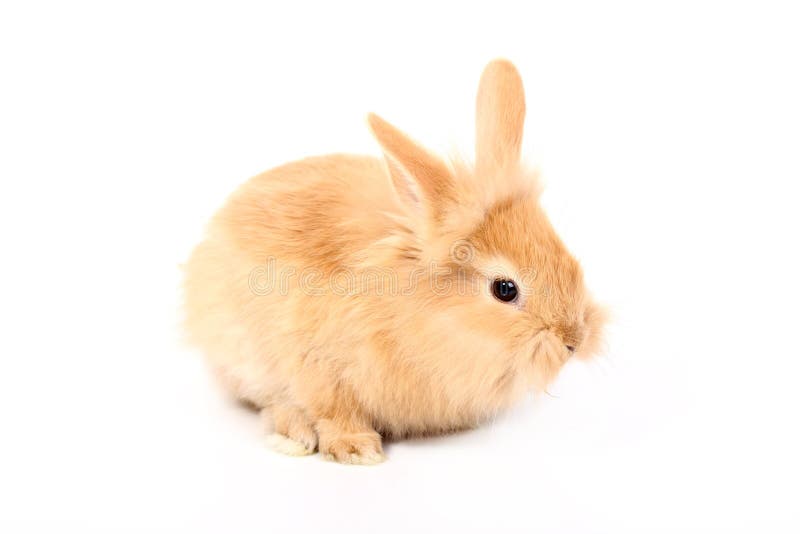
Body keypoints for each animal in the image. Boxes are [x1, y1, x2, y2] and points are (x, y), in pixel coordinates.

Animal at [183, 59, 606, 464]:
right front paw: (357, 450)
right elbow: (330, 409)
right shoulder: (314, 366)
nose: (574, 340)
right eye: (505, 289)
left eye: (569, 259)